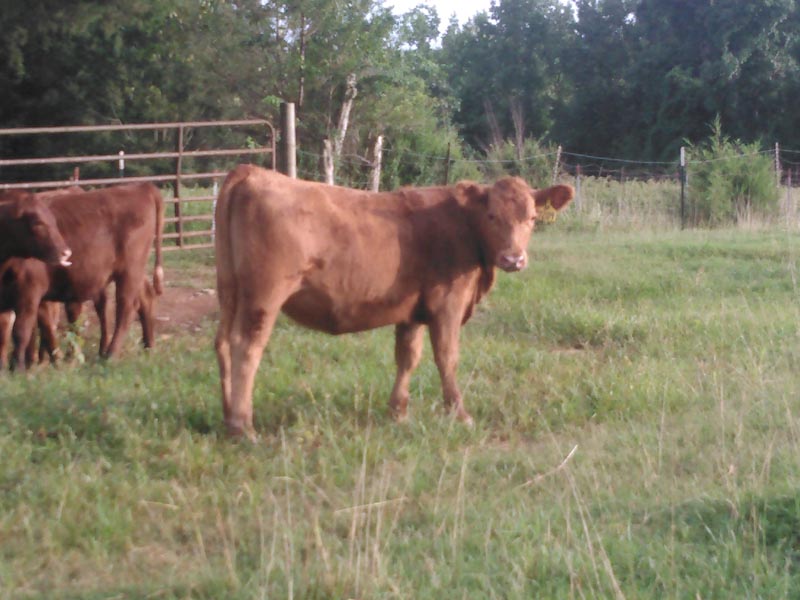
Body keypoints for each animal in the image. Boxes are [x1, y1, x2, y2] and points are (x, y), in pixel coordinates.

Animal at [0, 183, 164, 370]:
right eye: (38, 223)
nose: (65, 252)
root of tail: (140, 187)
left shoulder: (30, 292)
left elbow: (23, 330)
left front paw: (21, 367)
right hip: (132, 273)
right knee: (145, 298)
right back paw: (148, 348)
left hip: (129, 271)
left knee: (125, 308)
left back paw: (110, 354)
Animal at [214, 165, 573, 439]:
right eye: (492, 215)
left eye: (531, 218)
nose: (514, 258)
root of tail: (252, 172)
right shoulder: (447, 305)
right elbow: (447, 357)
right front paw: (460, 414)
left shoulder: (412, 310)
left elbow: (407, 357)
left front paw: (398, 413)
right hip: (264, 294)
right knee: (246, 346)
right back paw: (243, 426)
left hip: (229, 291)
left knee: (223, 344)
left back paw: (228, 416)